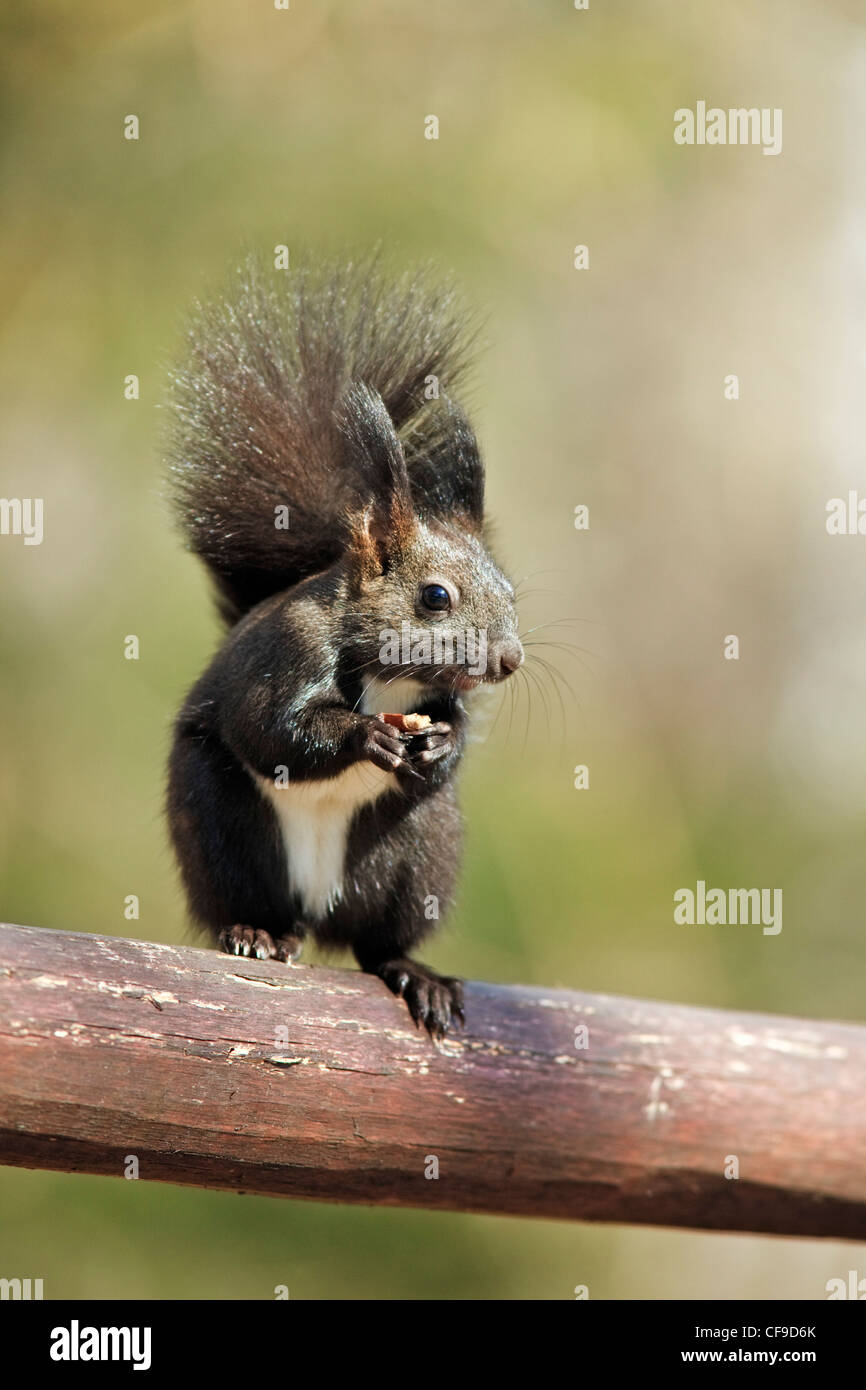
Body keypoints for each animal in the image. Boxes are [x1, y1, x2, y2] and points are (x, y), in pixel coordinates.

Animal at [164, 253, 523, 1039]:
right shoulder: (289, 653)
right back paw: (257, 934)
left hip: (415, 856)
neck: (388, 674)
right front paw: (366, 737)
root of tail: (316, 912)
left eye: (512, 591)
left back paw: (416, 975)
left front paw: (441, 741)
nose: (509, 662)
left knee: (375, 944)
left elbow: (451, 727)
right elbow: (274, 729)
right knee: (251, 903)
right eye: (435, 598)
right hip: (222, 828)